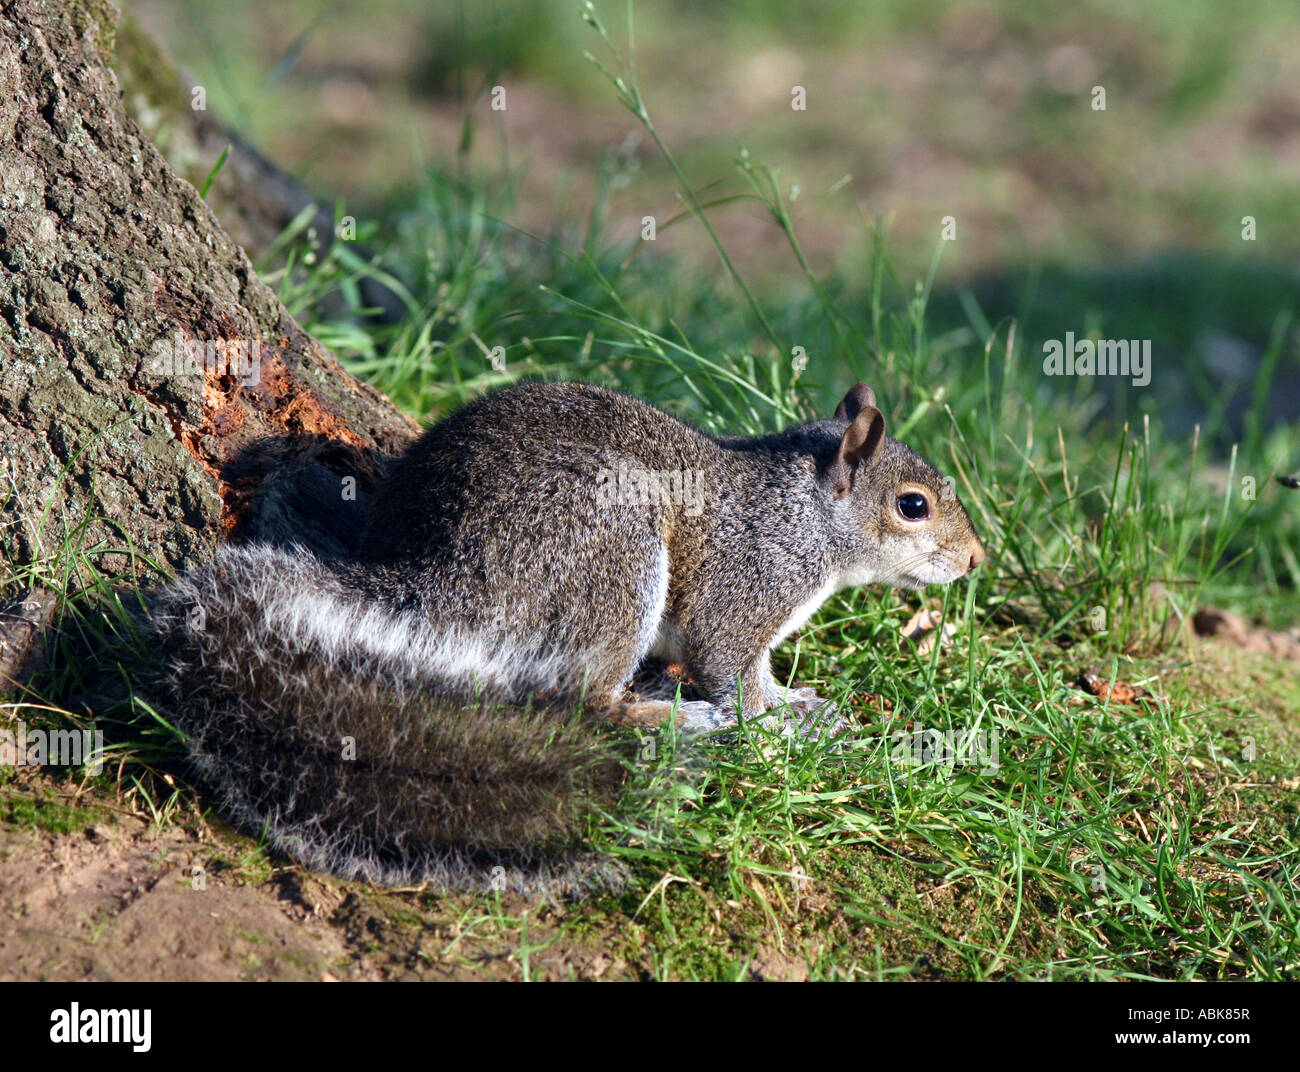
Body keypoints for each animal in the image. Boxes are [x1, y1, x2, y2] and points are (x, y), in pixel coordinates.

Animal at [143, 380, 985, 894]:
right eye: (912, 505)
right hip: (610, 551)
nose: (977, 558)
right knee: (586, 695)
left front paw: (798, 701)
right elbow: (732, 671)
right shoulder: (746, 586)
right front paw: (788, 722)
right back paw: (668, 718)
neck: (805, 515)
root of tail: (432, 580)